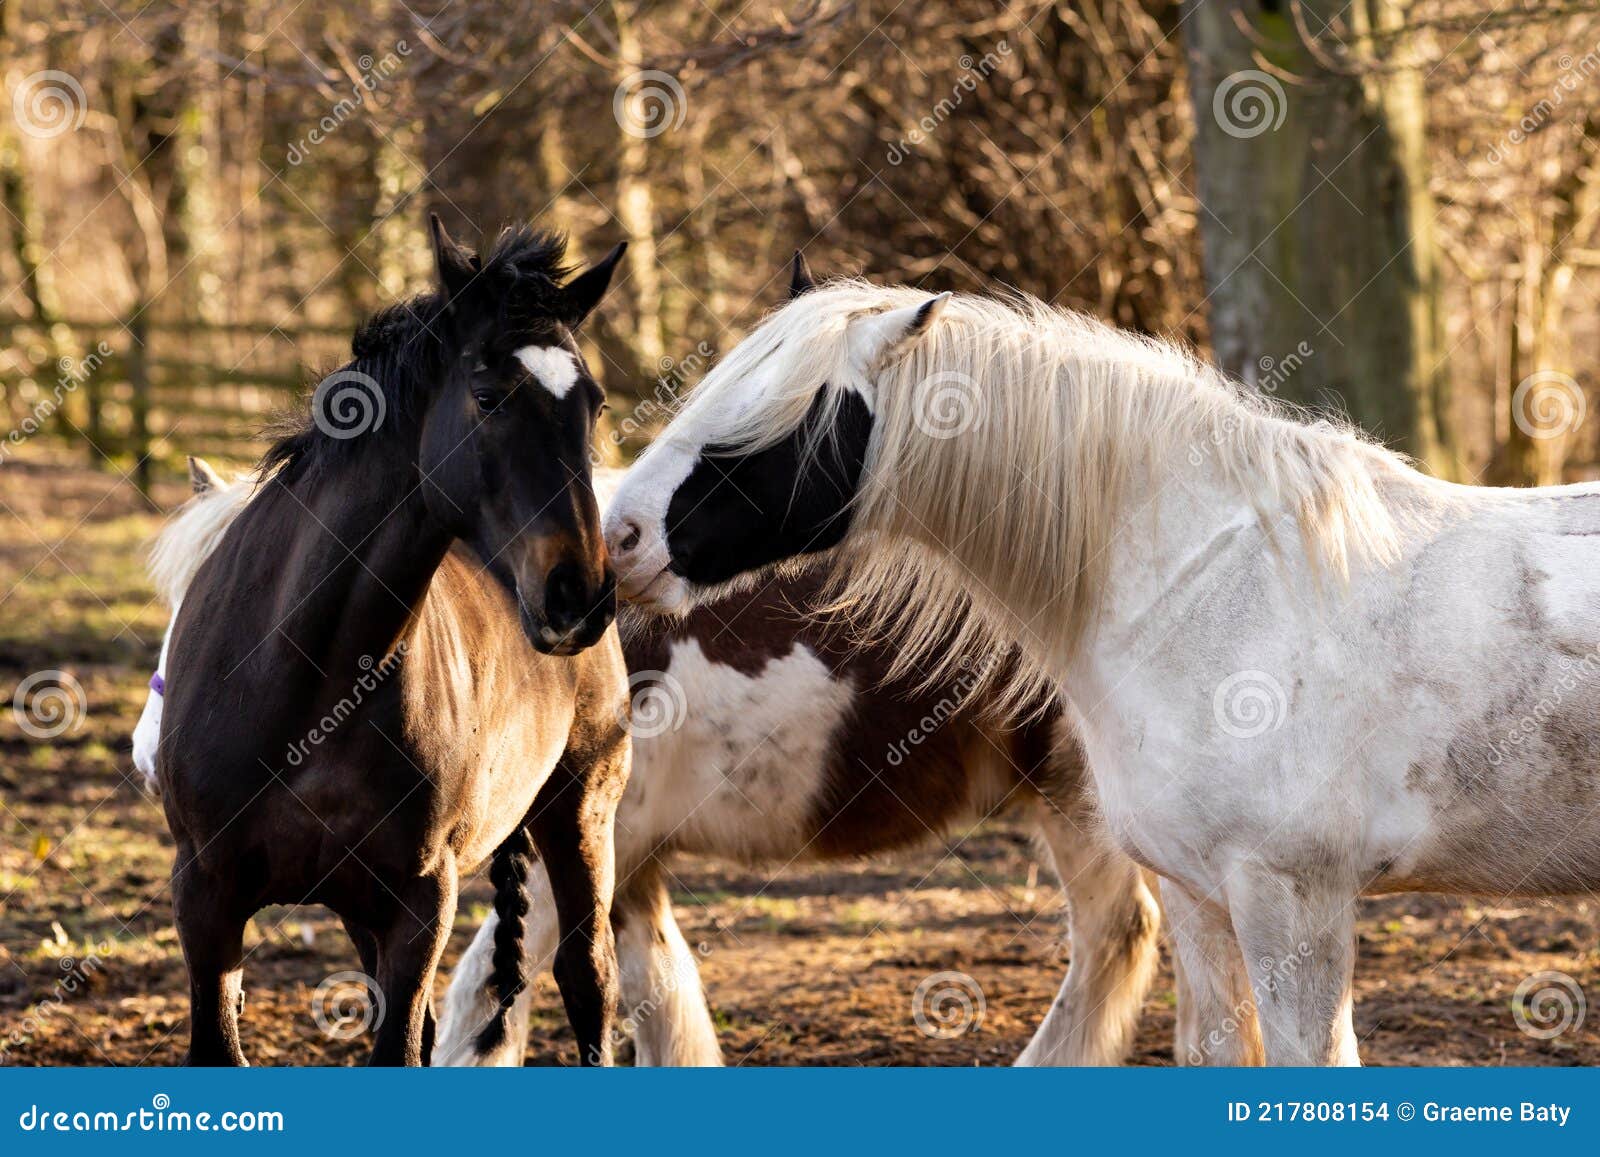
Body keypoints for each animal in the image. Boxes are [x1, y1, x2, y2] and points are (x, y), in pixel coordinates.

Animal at [139, 465, 1165, 1067]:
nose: (154, 752)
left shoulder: (580, 848)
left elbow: (485, 1001)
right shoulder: (624, 862)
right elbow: (657, 997)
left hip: (1084, 805)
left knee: (1118, 935)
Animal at [156, 217, 632, 1066]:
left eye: (594, 403)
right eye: (488, 396)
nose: (578, 595)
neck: (304, 680)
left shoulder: (417, 902)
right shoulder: (206, 898)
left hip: (581, 813)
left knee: (589, 979)